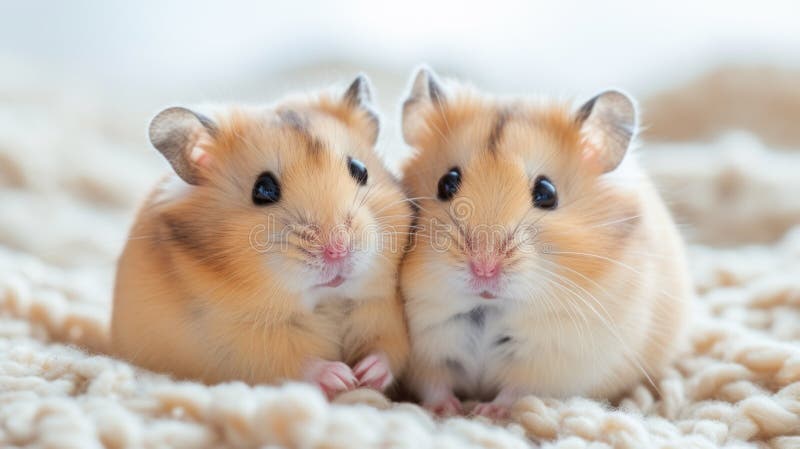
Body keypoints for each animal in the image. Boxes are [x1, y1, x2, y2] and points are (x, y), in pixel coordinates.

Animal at [111, 75, 412, 398]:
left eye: (360, 169)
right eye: (263, 189)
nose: (338, 250)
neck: (326, 301)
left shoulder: (385, 312)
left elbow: (386, 350)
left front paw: (366, 375)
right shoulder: (243, 345)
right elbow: (297, 362)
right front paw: (342, 378)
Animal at [398, 67, 692, 418]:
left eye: (546, 192)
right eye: (446, 183)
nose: (484, 268)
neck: (488, 305)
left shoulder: (552, 358)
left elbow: (516, 390)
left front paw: (486, 412)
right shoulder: (426, 344)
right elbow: (435, 383)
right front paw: (446, 410)